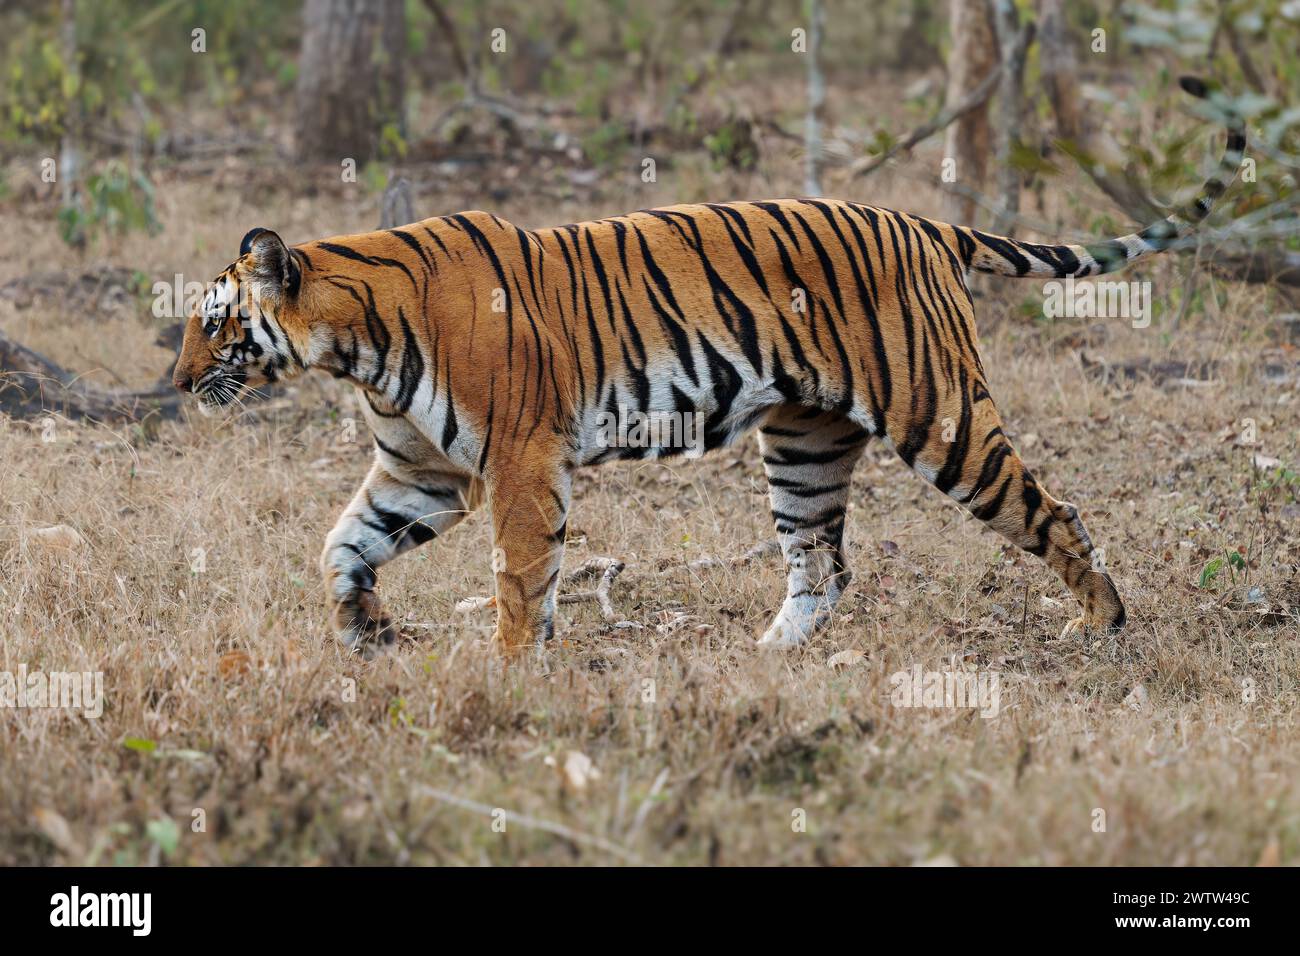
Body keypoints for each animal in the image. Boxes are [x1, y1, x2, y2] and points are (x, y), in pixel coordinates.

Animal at [172, 77, 1245, 659]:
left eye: (214, 324)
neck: (354, 344)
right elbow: (341, 547)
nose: (178, 384)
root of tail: (920, 220)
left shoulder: (516, 460)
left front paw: (513, 672)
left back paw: (1101, 628)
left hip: (942, 419)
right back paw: (765, 661)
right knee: (824, 564)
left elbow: (523, 577)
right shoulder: (421, 471)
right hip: (807, 443)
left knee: (1053, 512)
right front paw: (367, 632)